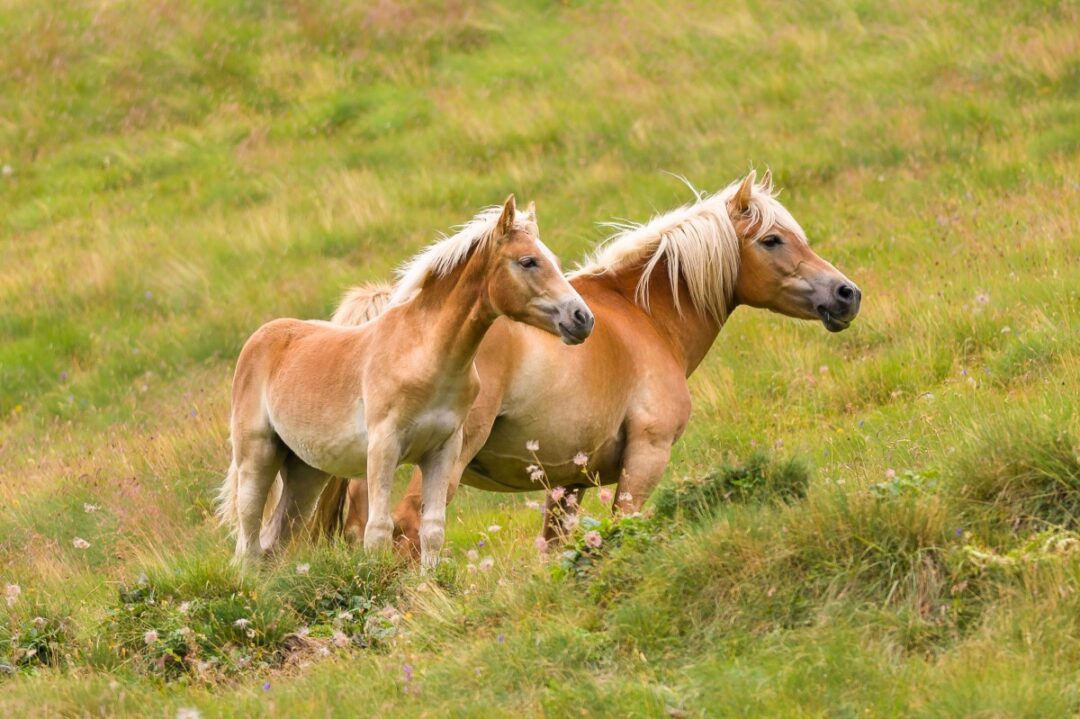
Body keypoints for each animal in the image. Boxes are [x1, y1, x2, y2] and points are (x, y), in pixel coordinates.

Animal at [217, 195, 595, 567]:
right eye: (528, 261)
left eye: (553, 260)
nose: (582, 319)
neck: (425, 358)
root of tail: (260, 338)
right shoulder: (384, 447)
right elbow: (378, 531)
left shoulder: (443, 450)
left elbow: (432, 530)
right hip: (257, 457)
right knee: (247, 547)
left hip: (305, 472)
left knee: (272, 543)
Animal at [309, 170, 862, 548]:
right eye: (772, 240)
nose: (847, 294)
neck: (646, 316)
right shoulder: (646, 459)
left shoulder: (567, 482)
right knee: (406, 525)